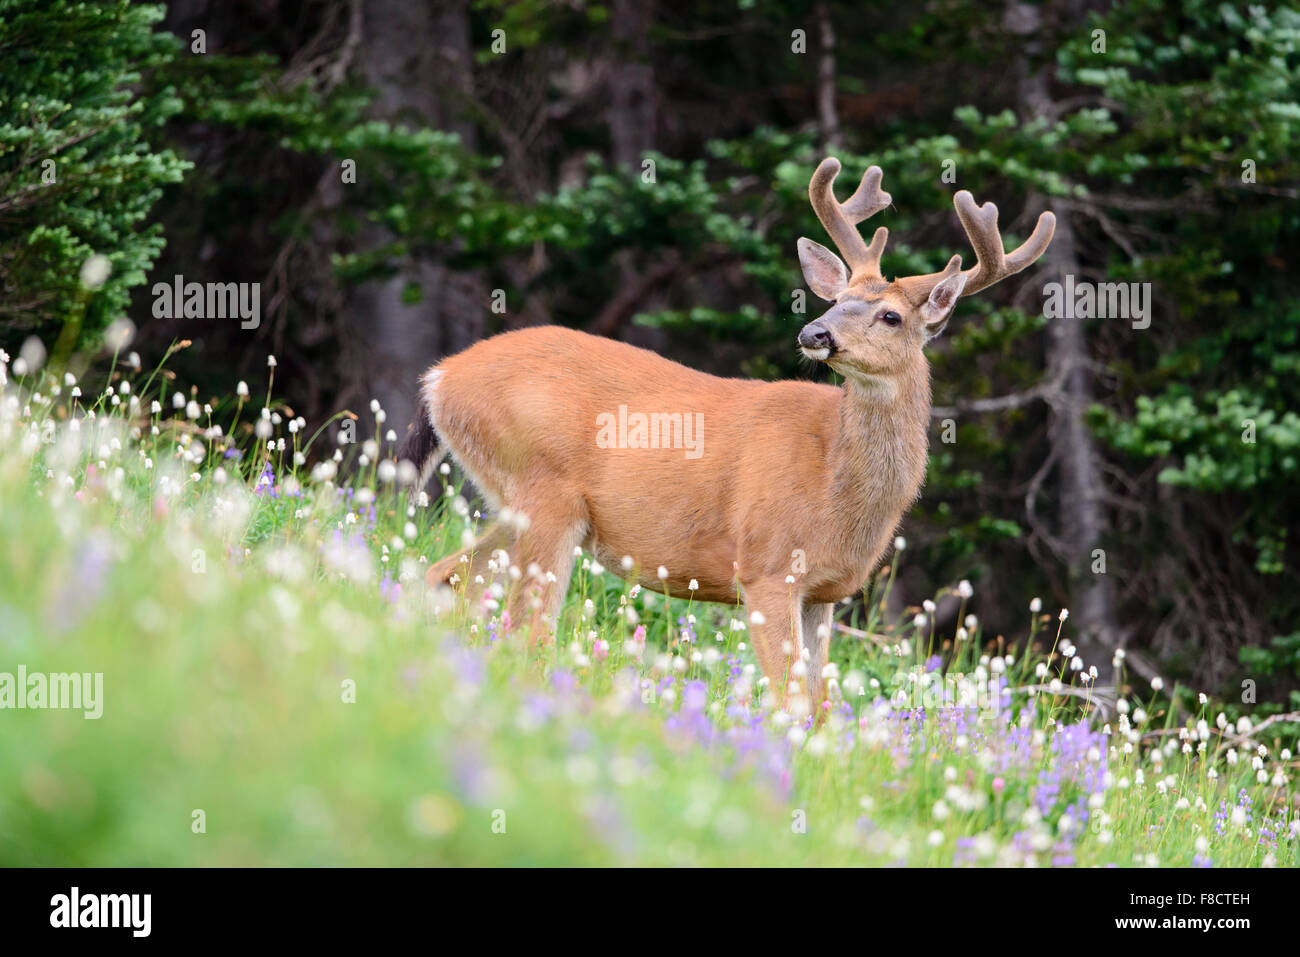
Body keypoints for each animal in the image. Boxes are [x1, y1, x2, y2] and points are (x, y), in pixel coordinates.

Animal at [399, 157, 1054, 717]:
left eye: (890, 316)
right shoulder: (765, 566)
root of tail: (440, 377)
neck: (834, 484)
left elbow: (820, 708)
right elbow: (790, 702)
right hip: (545, 492)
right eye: (838, 299)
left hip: (520, 505)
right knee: (525, 629)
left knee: (445, 575)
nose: (814, 333)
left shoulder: (824, 593)